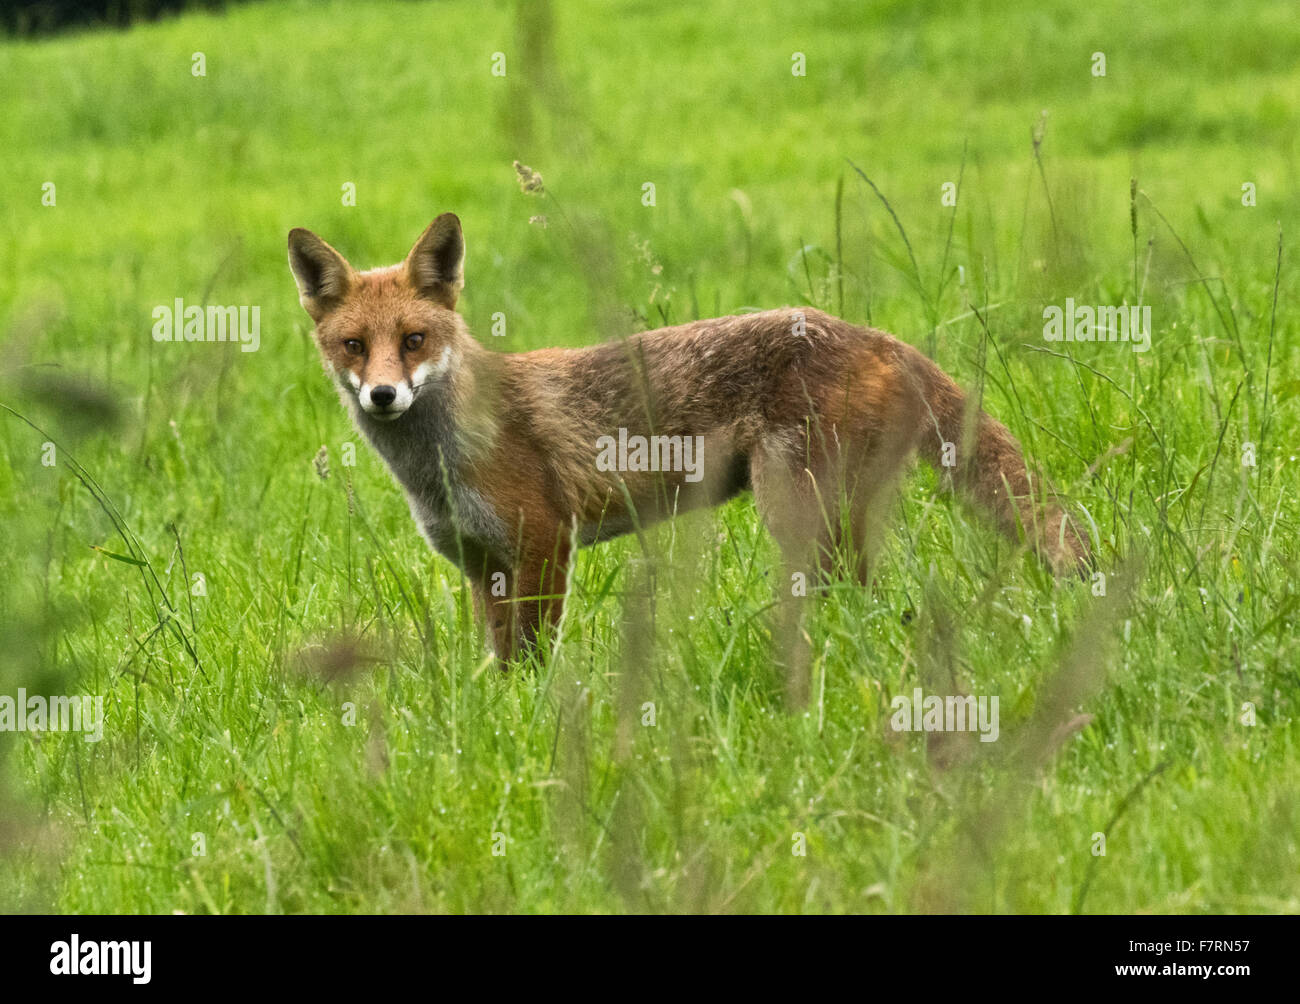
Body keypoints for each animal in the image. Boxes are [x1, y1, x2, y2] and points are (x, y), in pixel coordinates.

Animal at [288, 213, 1090, 666]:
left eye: (414, 340)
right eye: (354, 346)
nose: (383, 395)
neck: (441, 465)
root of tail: (875, 334)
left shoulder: (546, 541)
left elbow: (536, 659)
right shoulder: (483, 565)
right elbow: (501, 662)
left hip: (795, 509)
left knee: (855, 596)